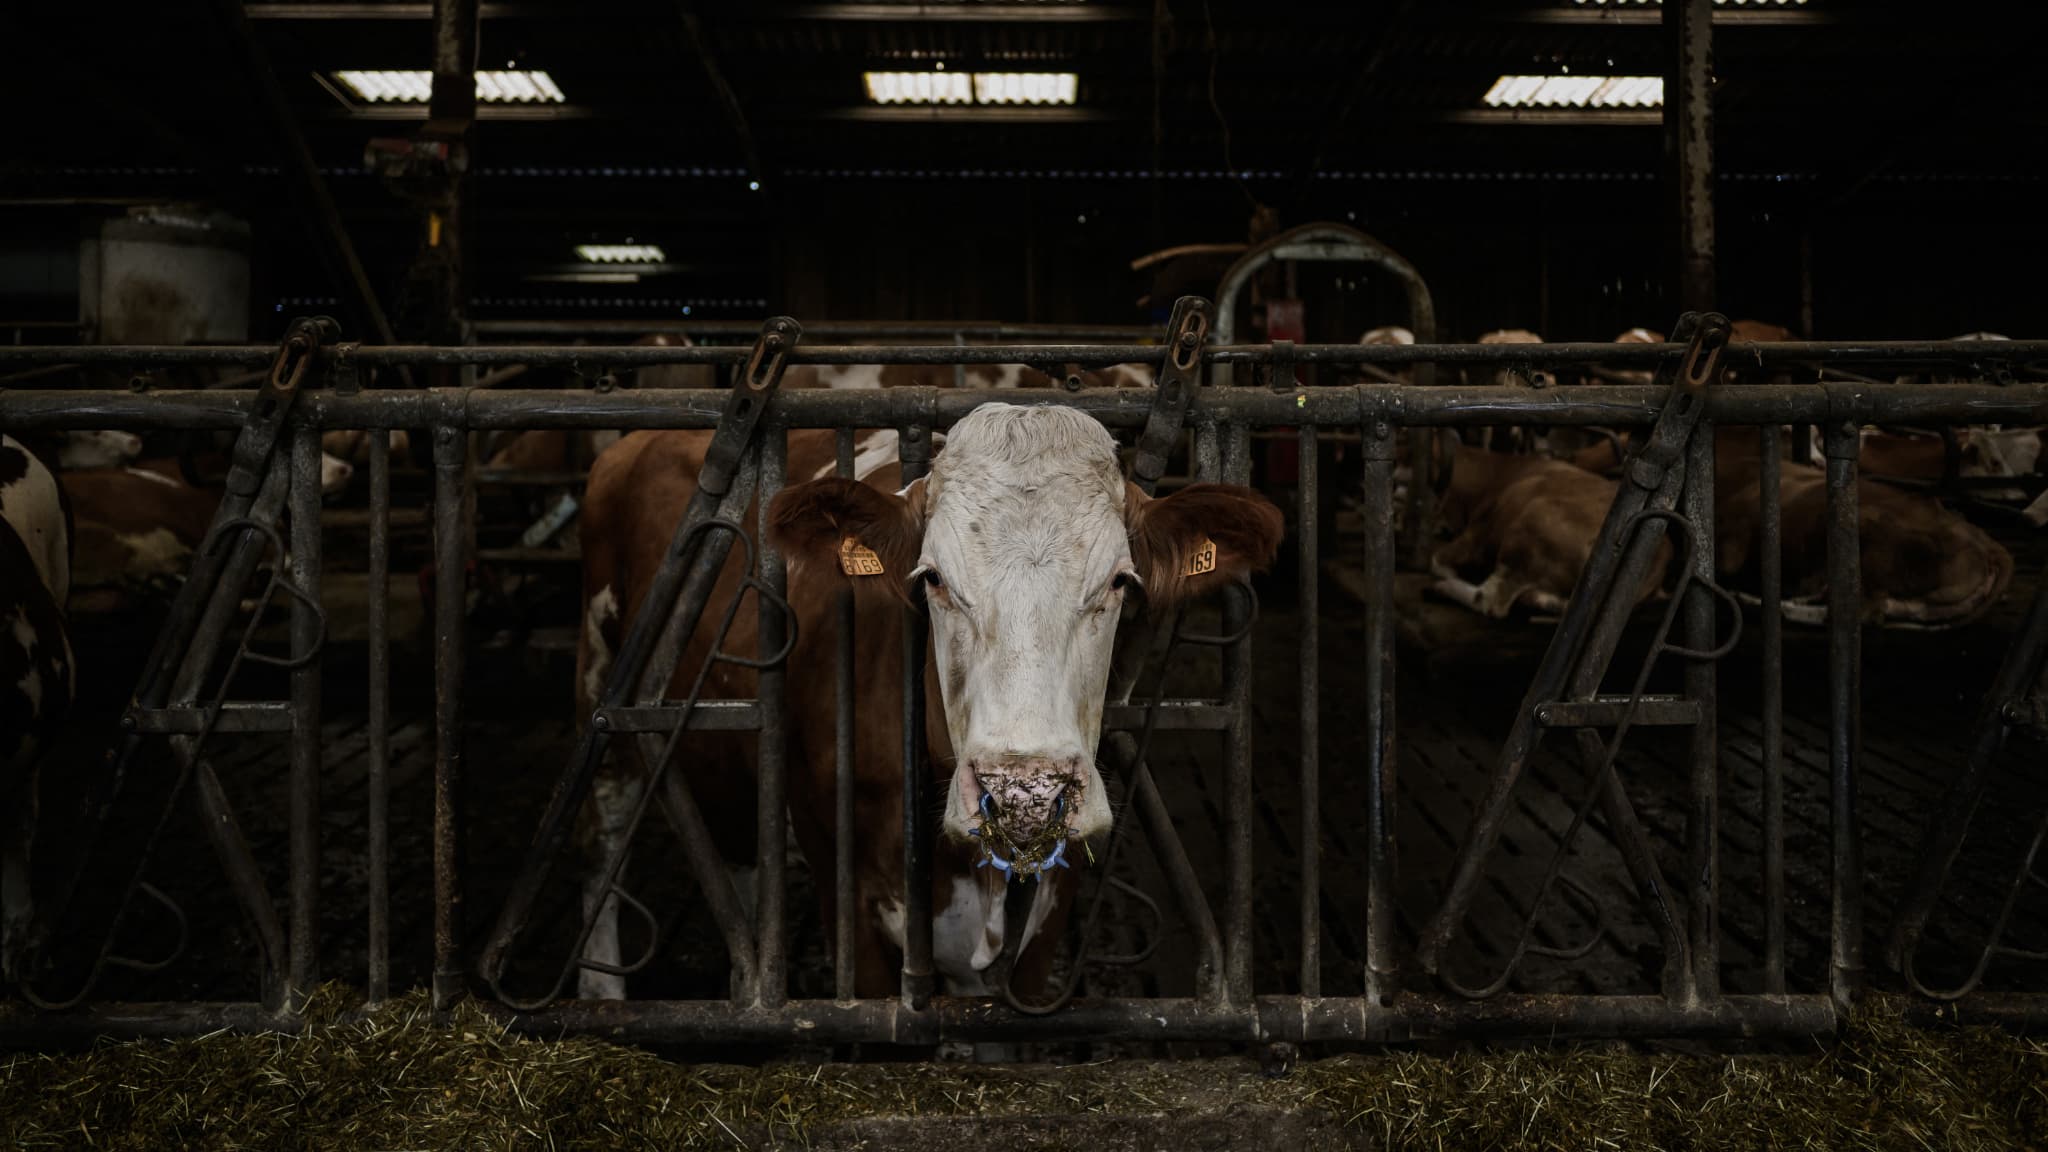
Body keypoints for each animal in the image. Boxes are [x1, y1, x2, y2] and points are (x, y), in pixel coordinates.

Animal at [575, 403, 1282, 1003]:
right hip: (603, 693)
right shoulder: (849, 904)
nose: (1024, 792)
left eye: (1118, 581)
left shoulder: (1047, 923)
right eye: (934, 579)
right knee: (605, 833)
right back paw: (602, 988)